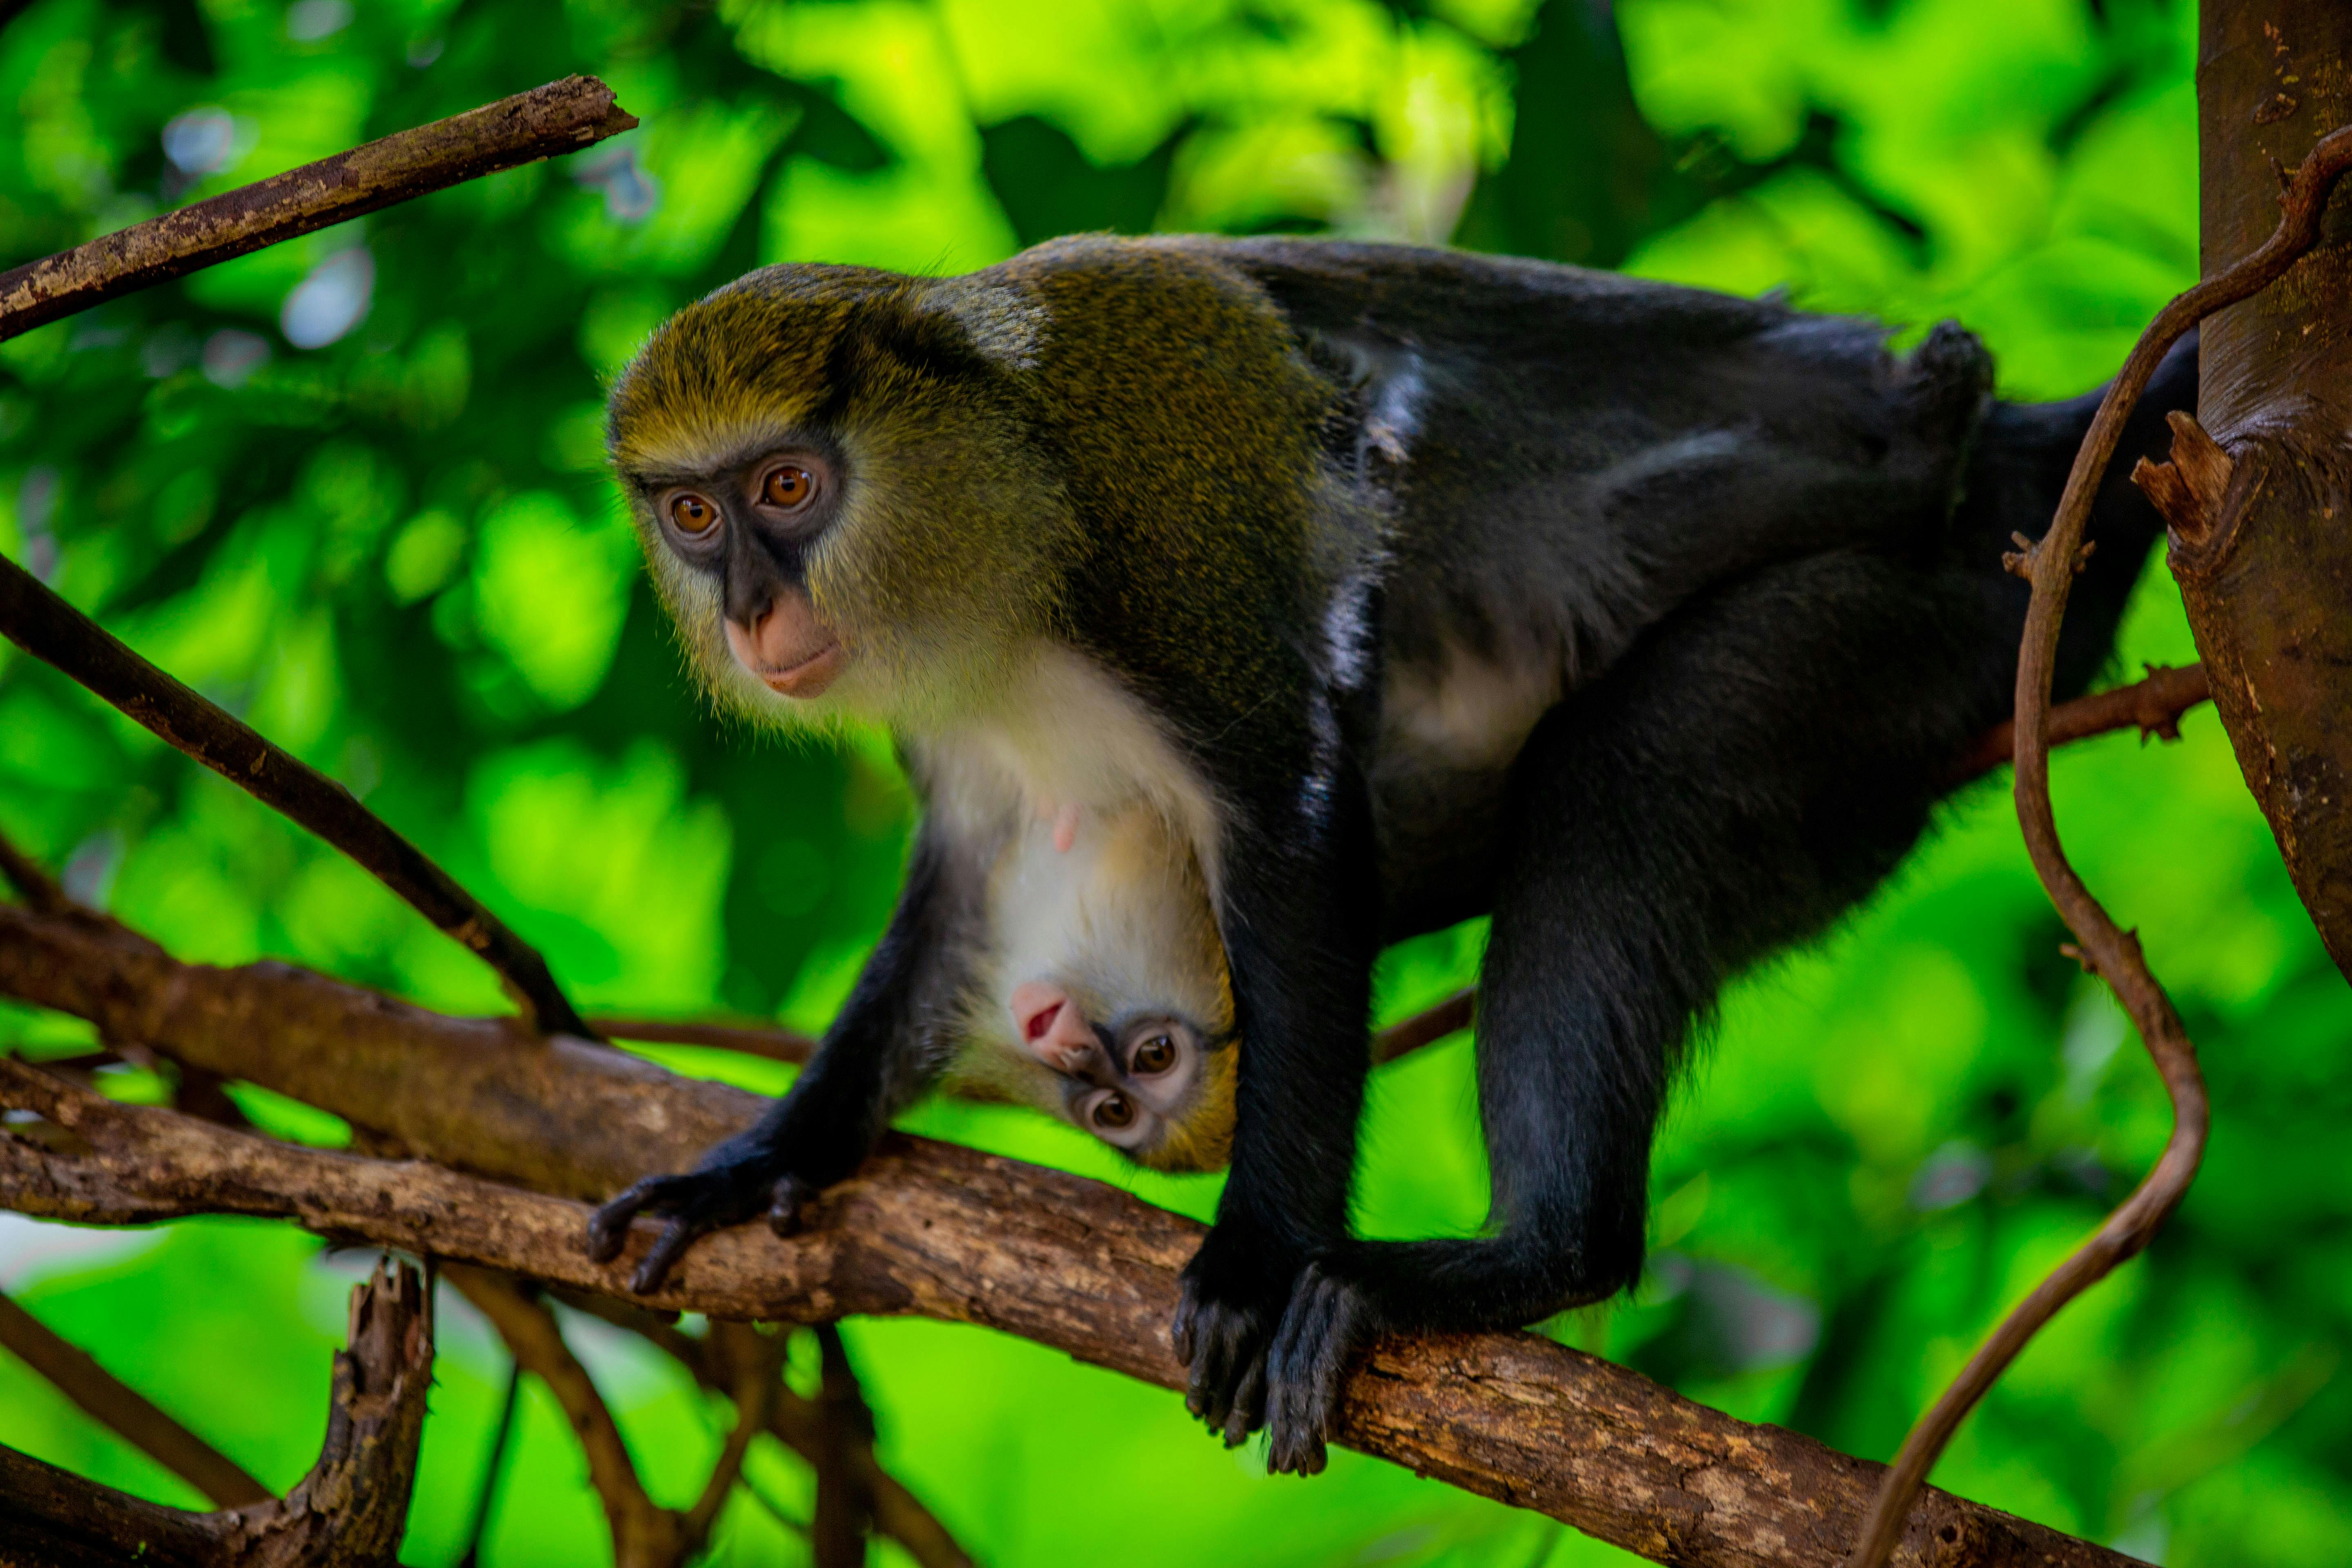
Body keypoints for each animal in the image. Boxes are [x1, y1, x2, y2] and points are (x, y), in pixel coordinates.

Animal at [583, 234, 2198, 1475]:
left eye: (788, 490)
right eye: (693, 513)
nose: (751, 610)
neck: (996, 531)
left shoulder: (1177, 561)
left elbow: (1297, 826)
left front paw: (1252, 1257)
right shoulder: (961, 768)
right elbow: (949, 915)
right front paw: (762, 1157)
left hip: (1902, 630)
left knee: (1624, 764)